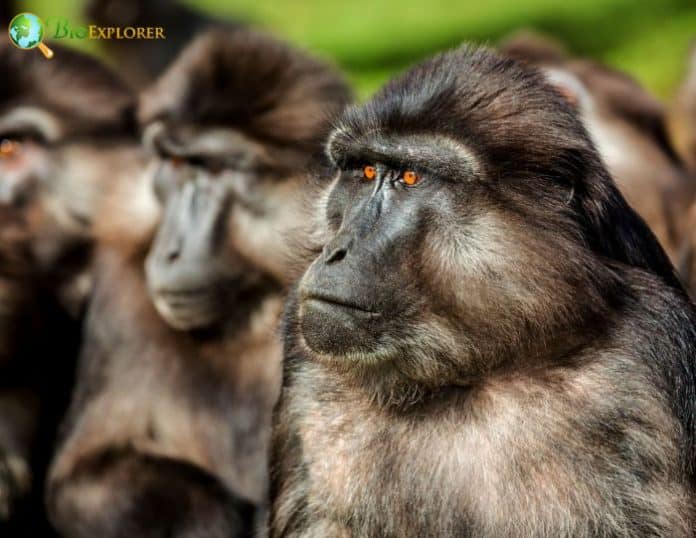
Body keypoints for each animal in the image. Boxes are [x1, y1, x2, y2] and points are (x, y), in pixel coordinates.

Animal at [46, 28, 351, 538]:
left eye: (217, 168)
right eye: (173, 163)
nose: (169, 251)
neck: (245, 315)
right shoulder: (122, 296)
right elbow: (77, 482)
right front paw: (213, 518)